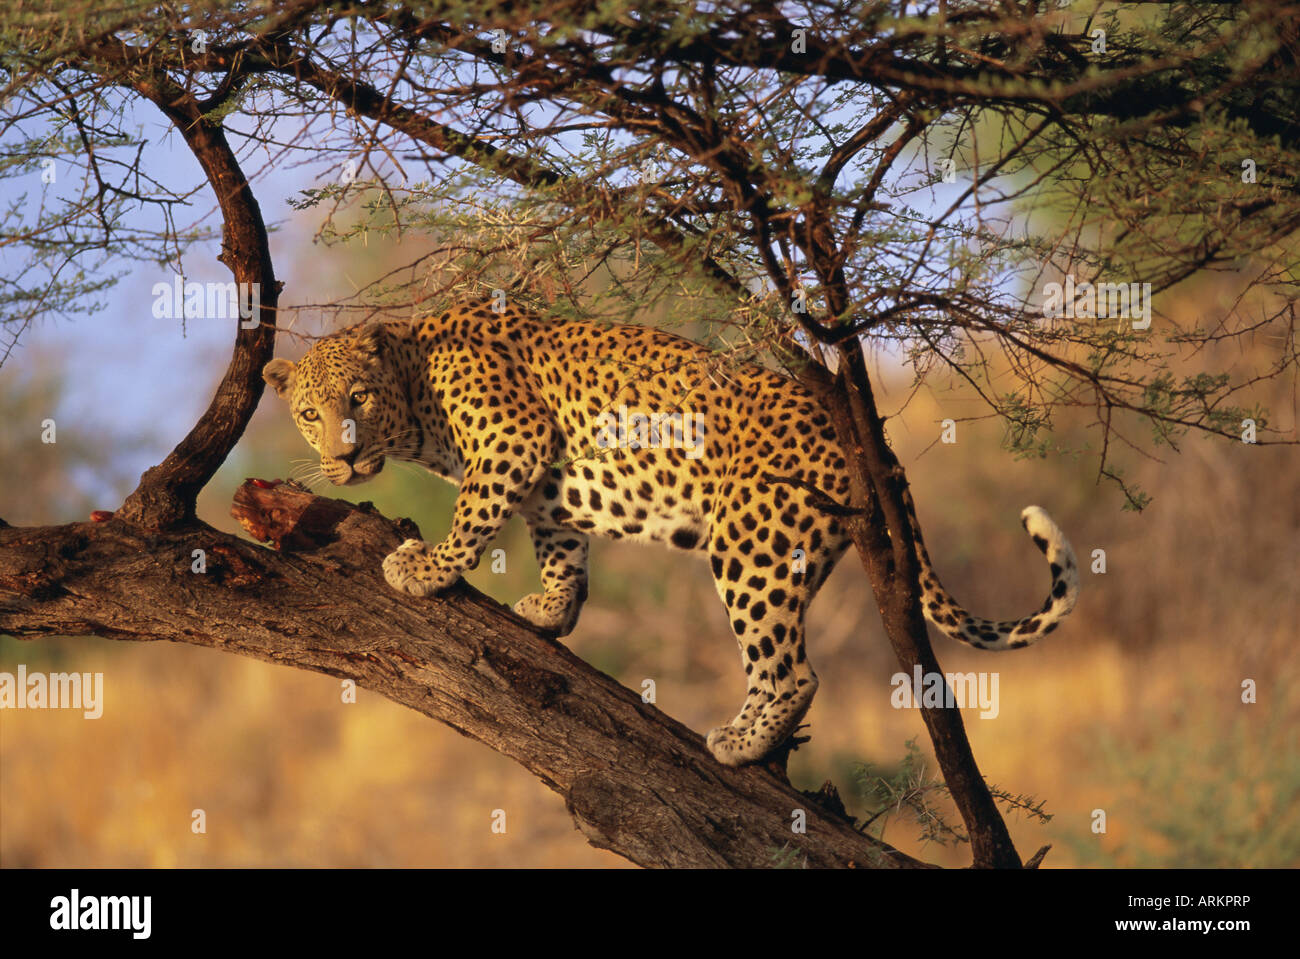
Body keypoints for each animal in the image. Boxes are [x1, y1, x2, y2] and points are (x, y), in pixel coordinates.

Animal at [263, 300, 1079, 766]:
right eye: (308, 412)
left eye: (358, 398)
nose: (341, 456)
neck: (414, 392)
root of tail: (860, 437)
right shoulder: (548, 483)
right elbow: (559, 543)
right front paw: (552, 610)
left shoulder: (512, 440)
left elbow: (473, 514)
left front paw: (425, 567)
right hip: (792, 554)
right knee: (781, 657)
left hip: (749, 539)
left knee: (794, 671)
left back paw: (742, 748)